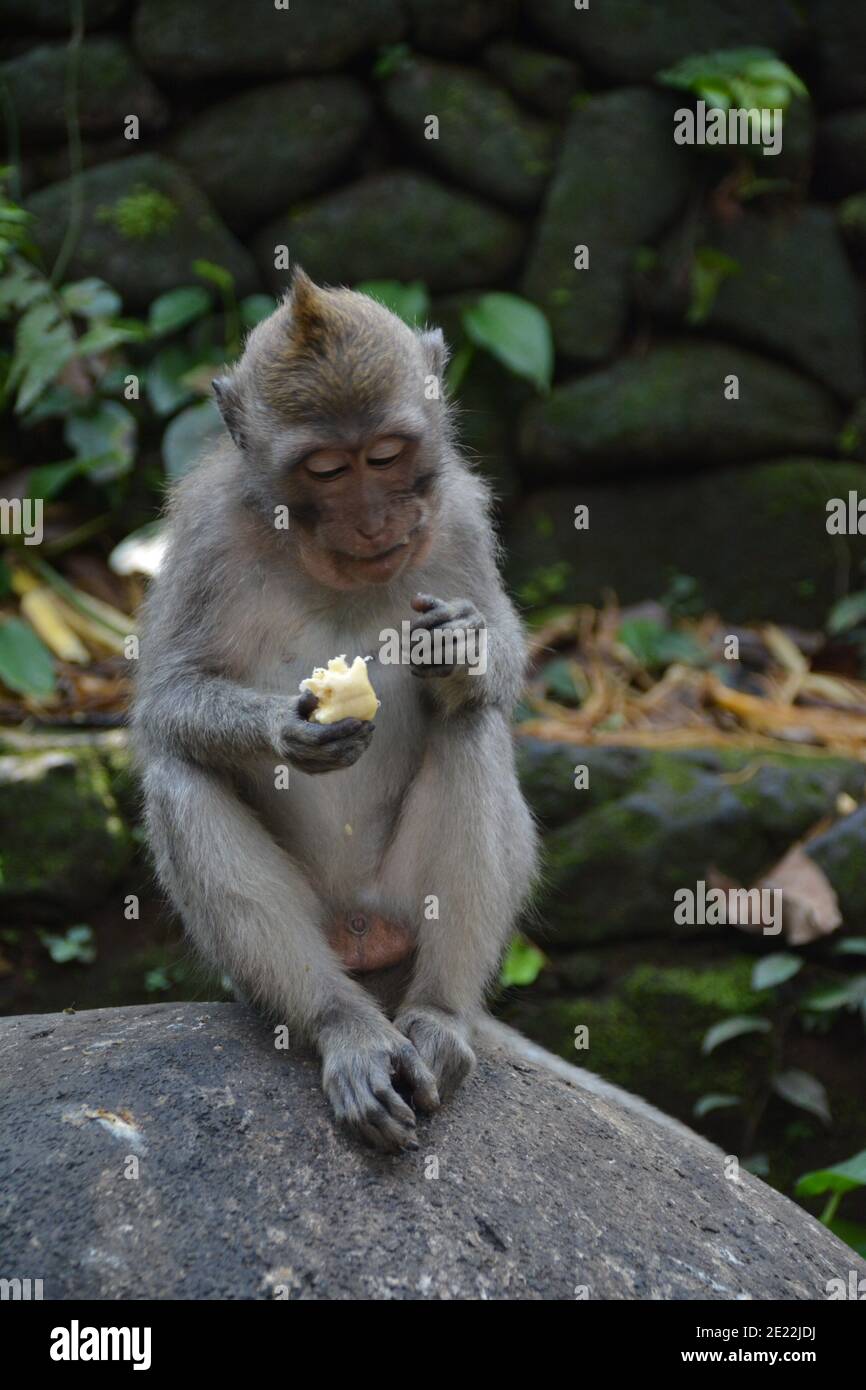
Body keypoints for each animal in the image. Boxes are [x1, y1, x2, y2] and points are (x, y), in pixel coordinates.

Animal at [133, 268, 539, 1152]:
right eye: (325, 469)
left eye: (386, 455)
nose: (376, 519)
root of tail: (363, 932)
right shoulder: (206, 532)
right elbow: (165, 701)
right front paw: (287, 731)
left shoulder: (459, 513)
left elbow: (500, 657)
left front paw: (466, 647)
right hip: (317, 924)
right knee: (181, 772)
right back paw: (342, 1027)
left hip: (400, 901)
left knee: (473, 728)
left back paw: (440, 1015)